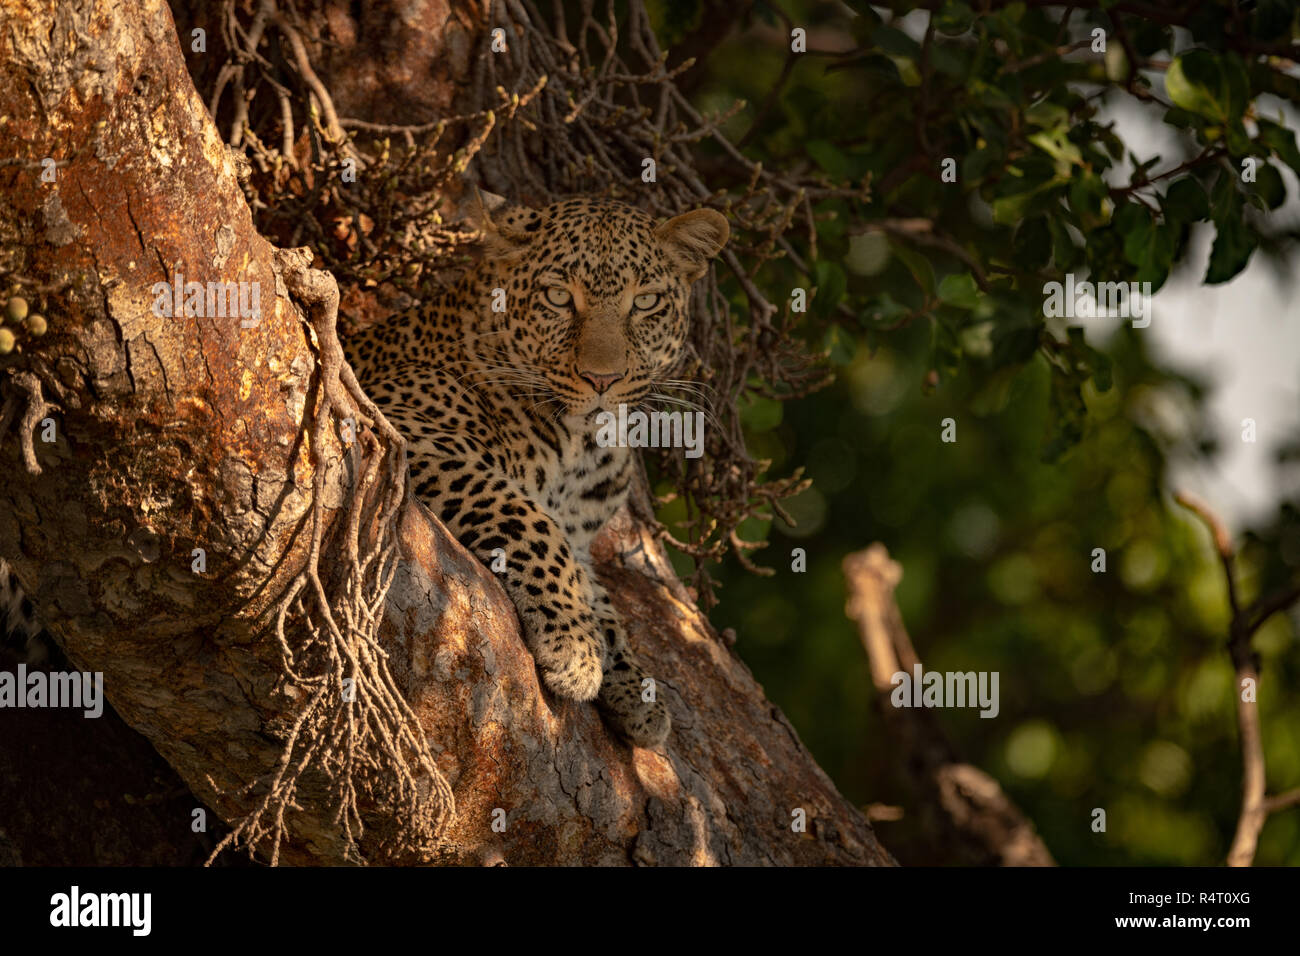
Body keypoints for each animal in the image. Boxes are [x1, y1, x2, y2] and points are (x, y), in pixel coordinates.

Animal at [343, 195, 729, 748]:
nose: (602, 380)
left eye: (646, 302)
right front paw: (576, 646)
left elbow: (602, 598)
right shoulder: (406, 429)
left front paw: (635, 686)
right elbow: (531, 522)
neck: (580, 447)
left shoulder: (582, 538)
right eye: (558, 297)